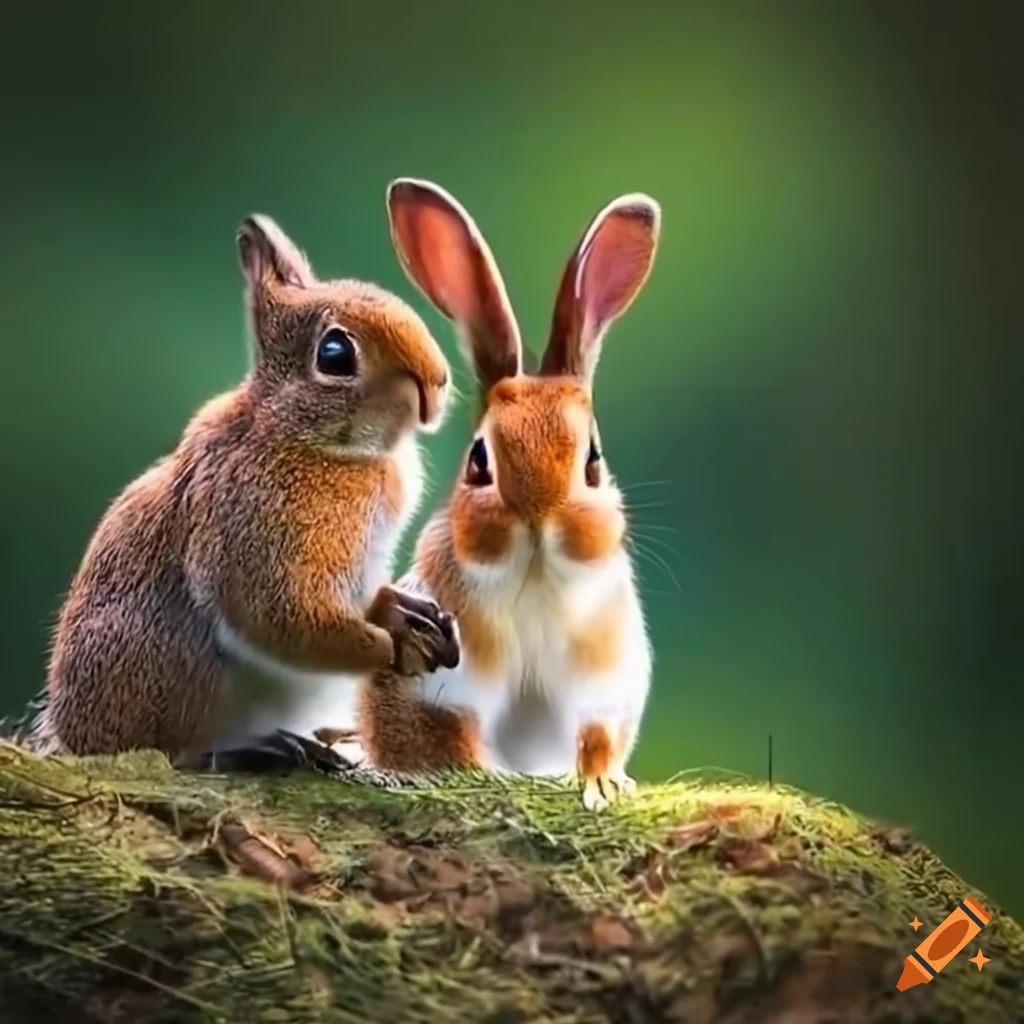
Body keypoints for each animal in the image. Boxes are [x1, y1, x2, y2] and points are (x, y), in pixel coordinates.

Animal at [27, 211, 460, 765]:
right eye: (335, 354)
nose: (436, 380)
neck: (301, 433)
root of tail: (76, 737)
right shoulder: (263, 533)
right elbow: (283, 617)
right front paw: (391, 646)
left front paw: (407, 613)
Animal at [352, 179, 660, 810]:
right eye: (479, 461)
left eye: (593, 460)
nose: (539, 518)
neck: (534, 575)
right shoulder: (444, 682)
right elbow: (451, 737)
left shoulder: (605, 680)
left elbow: (595, 736)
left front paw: (601, 785)